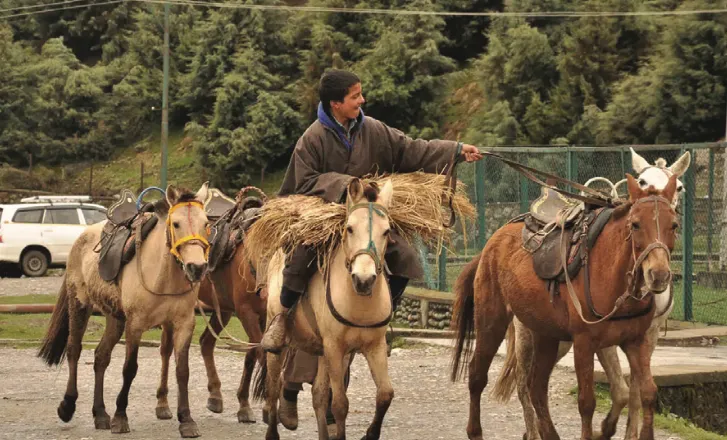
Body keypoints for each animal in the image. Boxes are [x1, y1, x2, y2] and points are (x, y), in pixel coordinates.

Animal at [38, 183, 211, 438]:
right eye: (176, 224)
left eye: (206, 223)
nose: (196, 268)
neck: (162, 276)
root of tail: (82, 237)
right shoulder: (135, 324)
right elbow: (130, 369)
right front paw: (120, 417)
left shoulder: (183, 324)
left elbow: (183, 370)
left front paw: (186, 420)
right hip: (79, 304)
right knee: (73, 350)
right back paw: (68, 406)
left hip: (115, 318)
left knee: (101, 357)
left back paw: (100, 414)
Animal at [255, 178, 395, 440]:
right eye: (349, 228)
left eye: (387, 231)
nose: (364, 280)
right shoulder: (335, 348)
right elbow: (340, 404)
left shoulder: (374, 347)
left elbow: (385, 395)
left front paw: (370, 434)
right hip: (280, 344)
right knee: (273, 388)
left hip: (321, 351)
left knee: (318, 395)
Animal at [451, 173, 679, 440]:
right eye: (635, 224)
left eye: (674, 225)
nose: (659, 275)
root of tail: (490, 245)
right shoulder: (584, 343)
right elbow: (587, 402)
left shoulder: (637, 341)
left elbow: (647, 393)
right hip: (492, 322)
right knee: (480, 376)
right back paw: (476, 431)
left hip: (545, 335)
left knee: (536, 387)